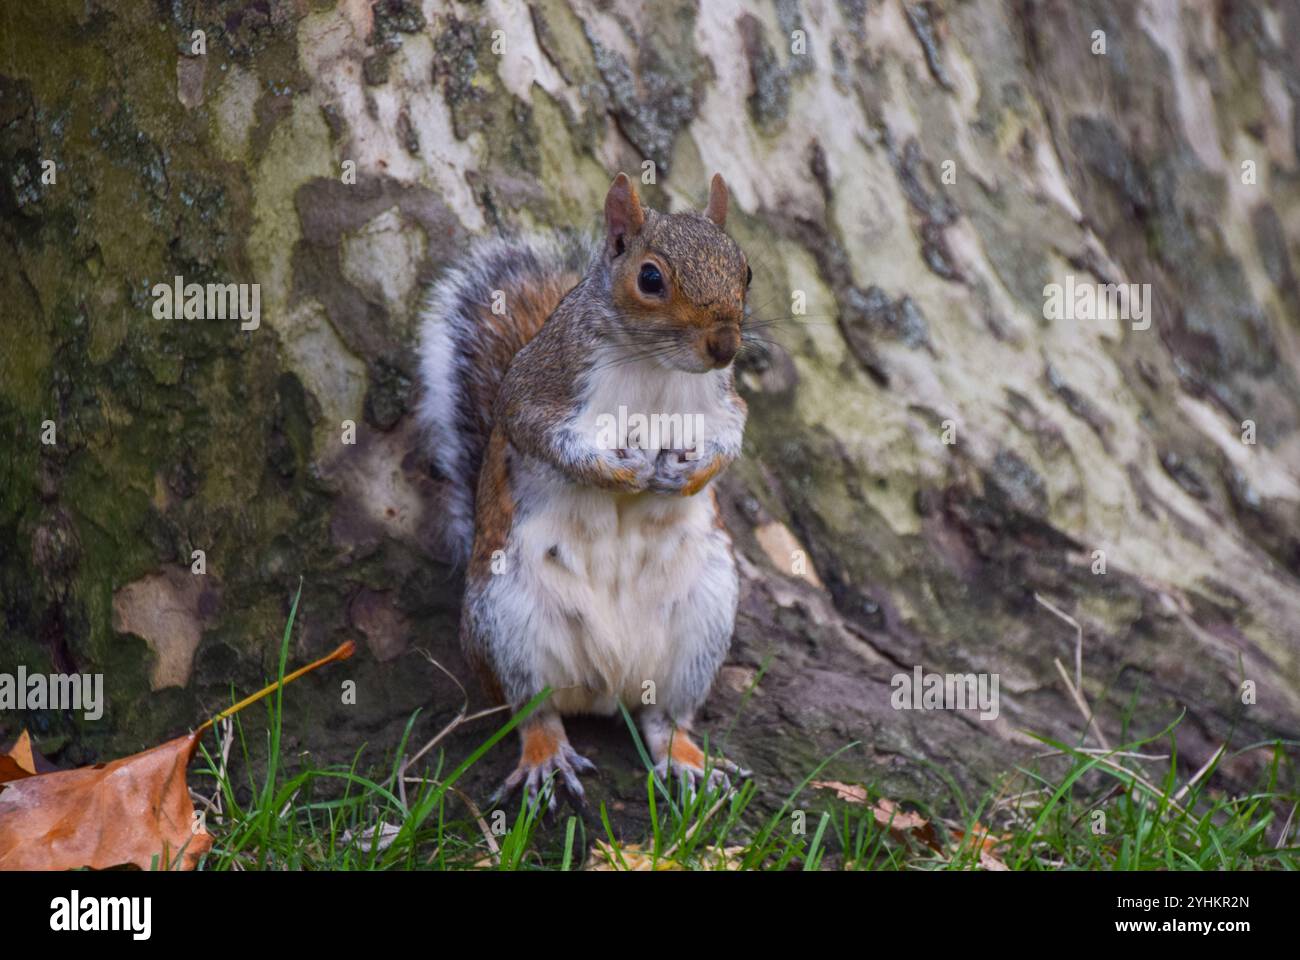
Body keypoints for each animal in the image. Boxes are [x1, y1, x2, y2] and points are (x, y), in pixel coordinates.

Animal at [416, 172, 750, 808]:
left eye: (746, 270)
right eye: (650, 278)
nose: (725, 346)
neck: (655, 365)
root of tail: (608, 685)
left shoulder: (721, 401)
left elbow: (732, 438)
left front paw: (688, 475)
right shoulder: (538, 388)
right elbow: (543, 435)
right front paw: (621, 473)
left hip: (702, 622)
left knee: (665, 718)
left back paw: (686, 760)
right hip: (508, 621)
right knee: (533, 710)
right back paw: (547, 757)